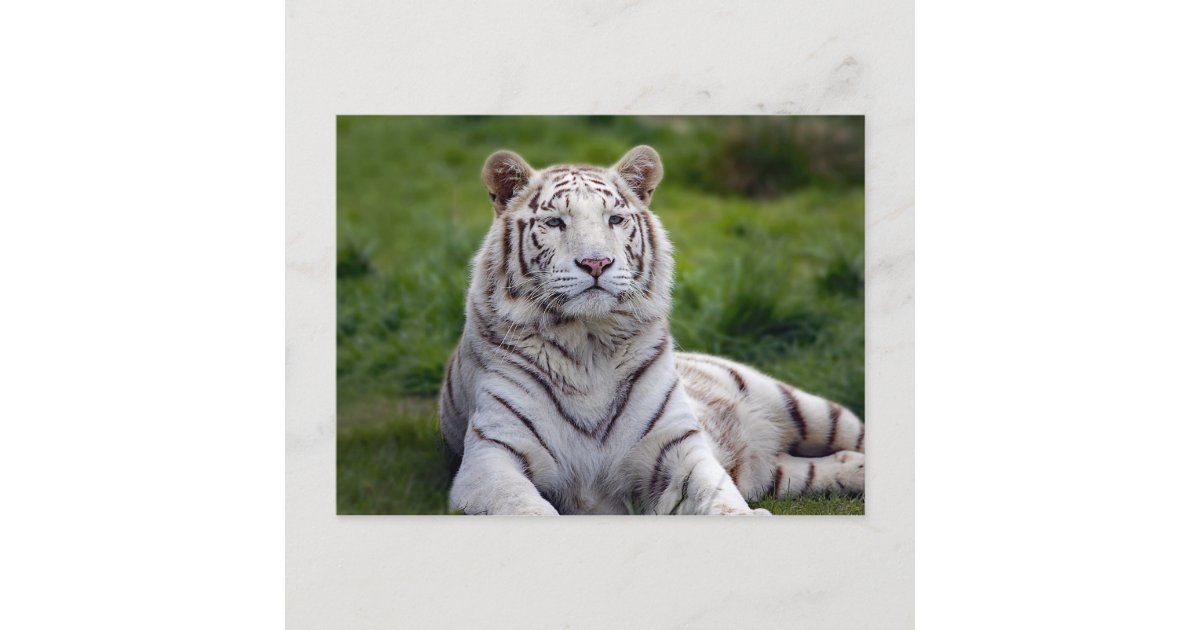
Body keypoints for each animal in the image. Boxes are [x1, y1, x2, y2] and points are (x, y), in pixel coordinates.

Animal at [438, 145, 865, 515]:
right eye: (555, 222)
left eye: (614, 219)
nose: (596, 263)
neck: (588, 343)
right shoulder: (491, 459)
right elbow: (524, 506)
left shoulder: (677, 447)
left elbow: (717, 493)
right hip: (775, 471)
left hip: (802, 407)